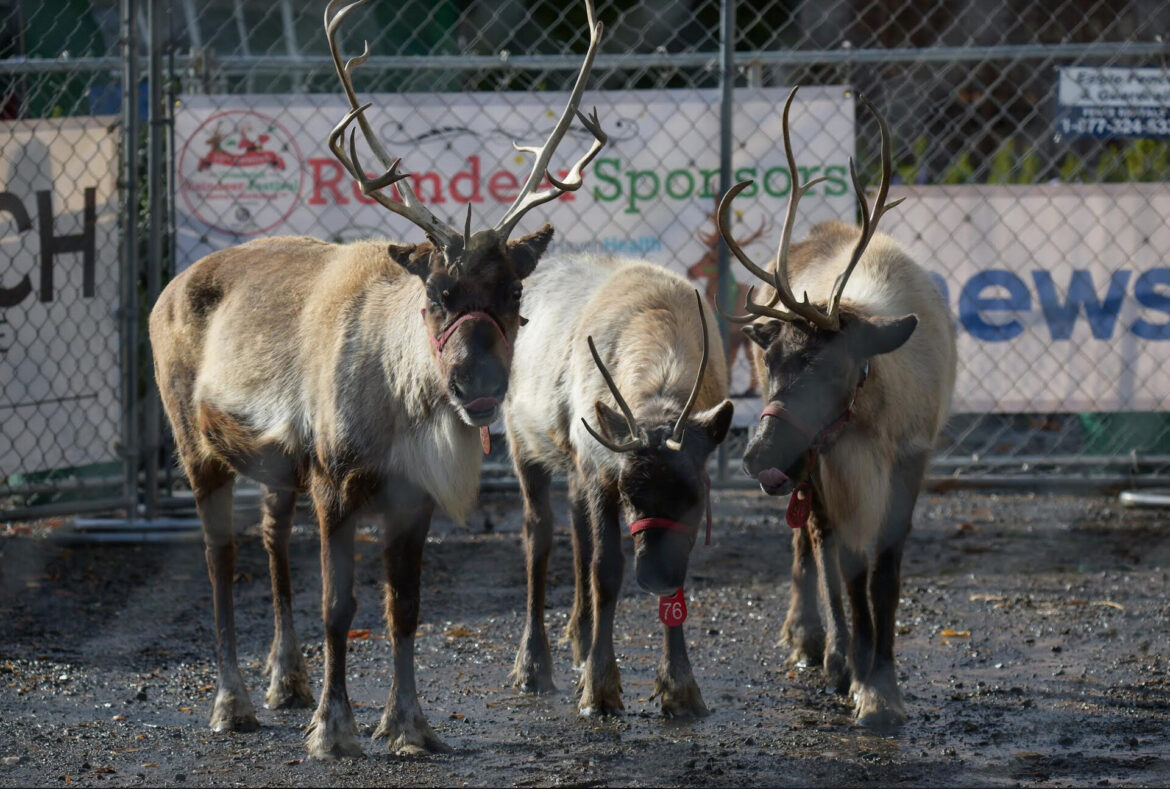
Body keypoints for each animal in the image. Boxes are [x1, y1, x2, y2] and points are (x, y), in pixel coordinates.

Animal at [148, 0, 605, 759]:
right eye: (439, 293)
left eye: (514, 291)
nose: (479, 384)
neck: (402, 403)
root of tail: (167, 287)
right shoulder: (335, 481)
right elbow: (341, 607)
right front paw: (334, 728)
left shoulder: (409, 497)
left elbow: (405, 608)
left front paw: (408, 725)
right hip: (196, 446)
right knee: (220, 558)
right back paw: (232, 700)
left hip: (277, 467)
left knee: (272, 540)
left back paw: (286, 680)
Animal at [504, 259, 733, 717]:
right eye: (629, 492)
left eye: (696, 495)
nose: (654, 576)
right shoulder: (600, 473)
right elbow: (605, 569)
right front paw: (600, 688)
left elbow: (676, 583)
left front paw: (680, 687)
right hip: (523, 440)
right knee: (538, 533)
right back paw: (533, 665)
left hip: (574, 469)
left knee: (577, 531)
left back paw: (579, 641)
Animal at [717, 87, 956, 729]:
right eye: (772, 360)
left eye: (828, 369)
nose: (754, 456)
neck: (874, 417)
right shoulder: (831, 468)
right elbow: (846, 570)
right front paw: (864, 680)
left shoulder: (911, 462)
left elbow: (884, 577)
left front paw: (884, 683)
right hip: (807, 464)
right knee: (813, 542)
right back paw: (819, 643)